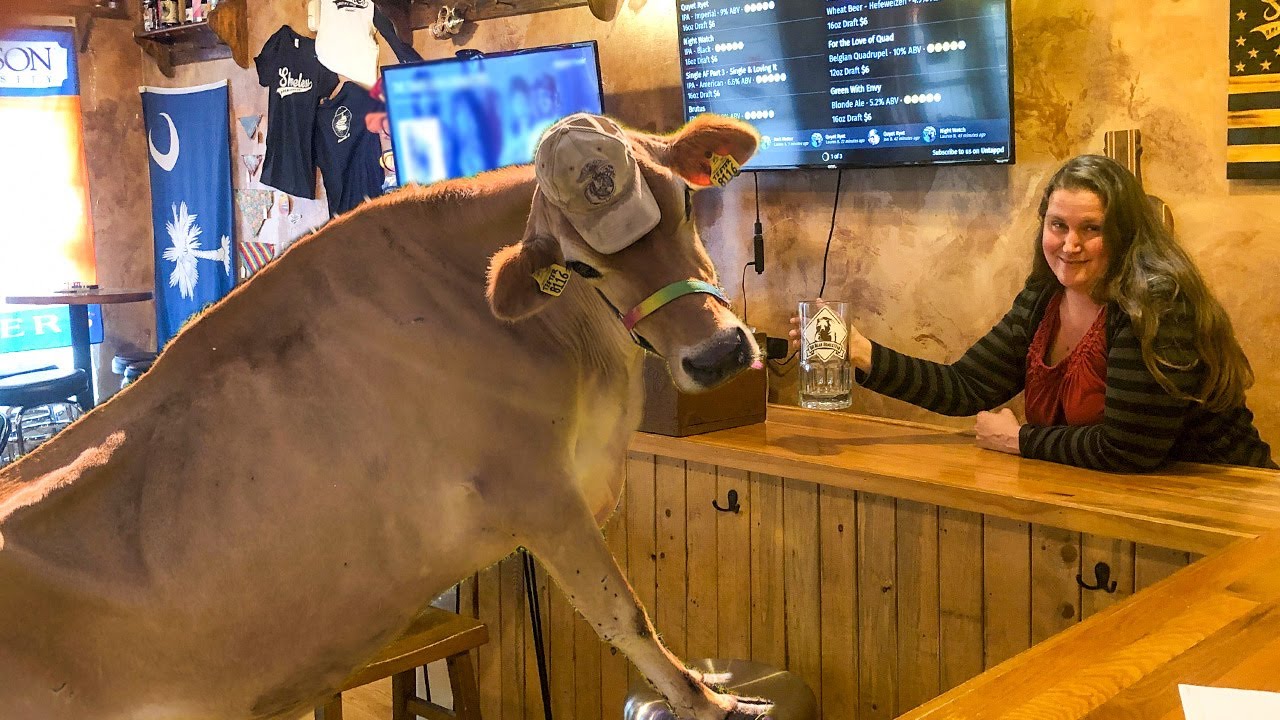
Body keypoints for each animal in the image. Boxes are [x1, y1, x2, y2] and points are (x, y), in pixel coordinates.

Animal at [0, 112, 768, 720]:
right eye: (582, 268)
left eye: (687, 203)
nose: (720, 353)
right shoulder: (537, 492)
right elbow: (623, 614)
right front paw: (710, 700)